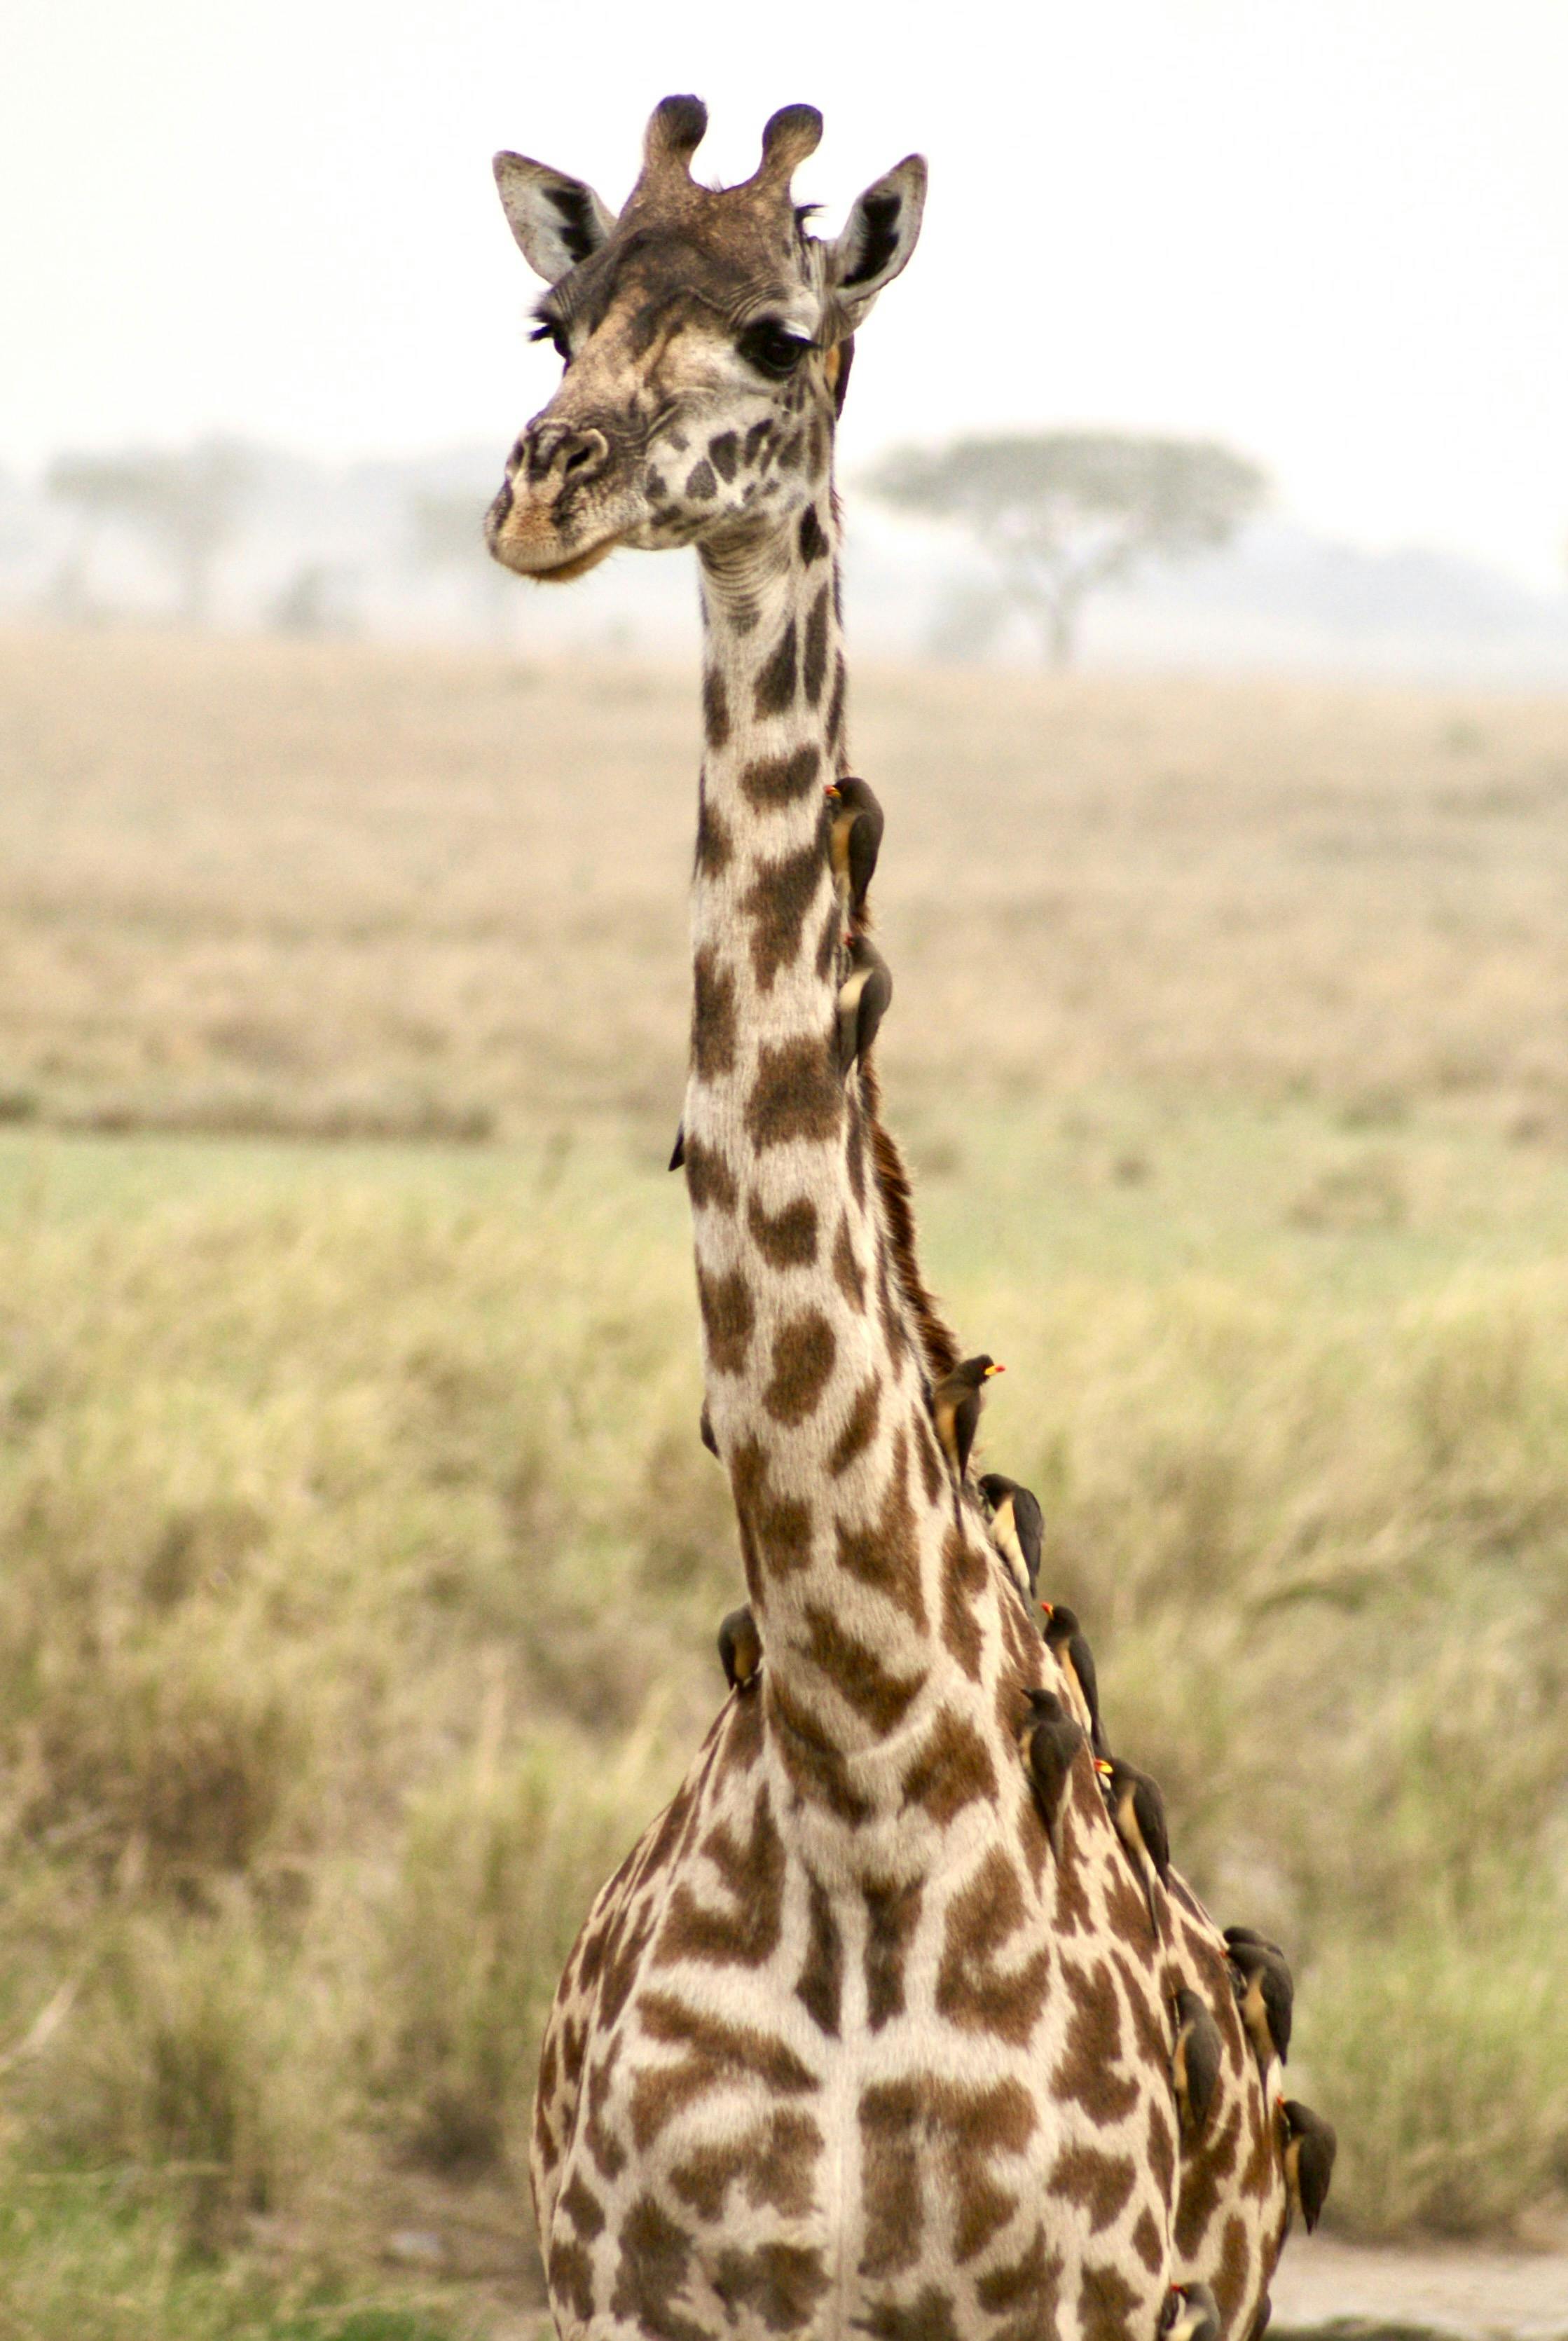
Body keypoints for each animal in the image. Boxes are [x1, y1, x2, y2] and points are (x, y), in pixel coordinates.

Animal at [486, 97, 1288, 2341]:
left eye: (778, 331)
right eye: (555, 319)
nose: (540, 487)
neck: (856, 1781)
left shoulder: (1073, 2307)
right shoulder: (624, 2288)